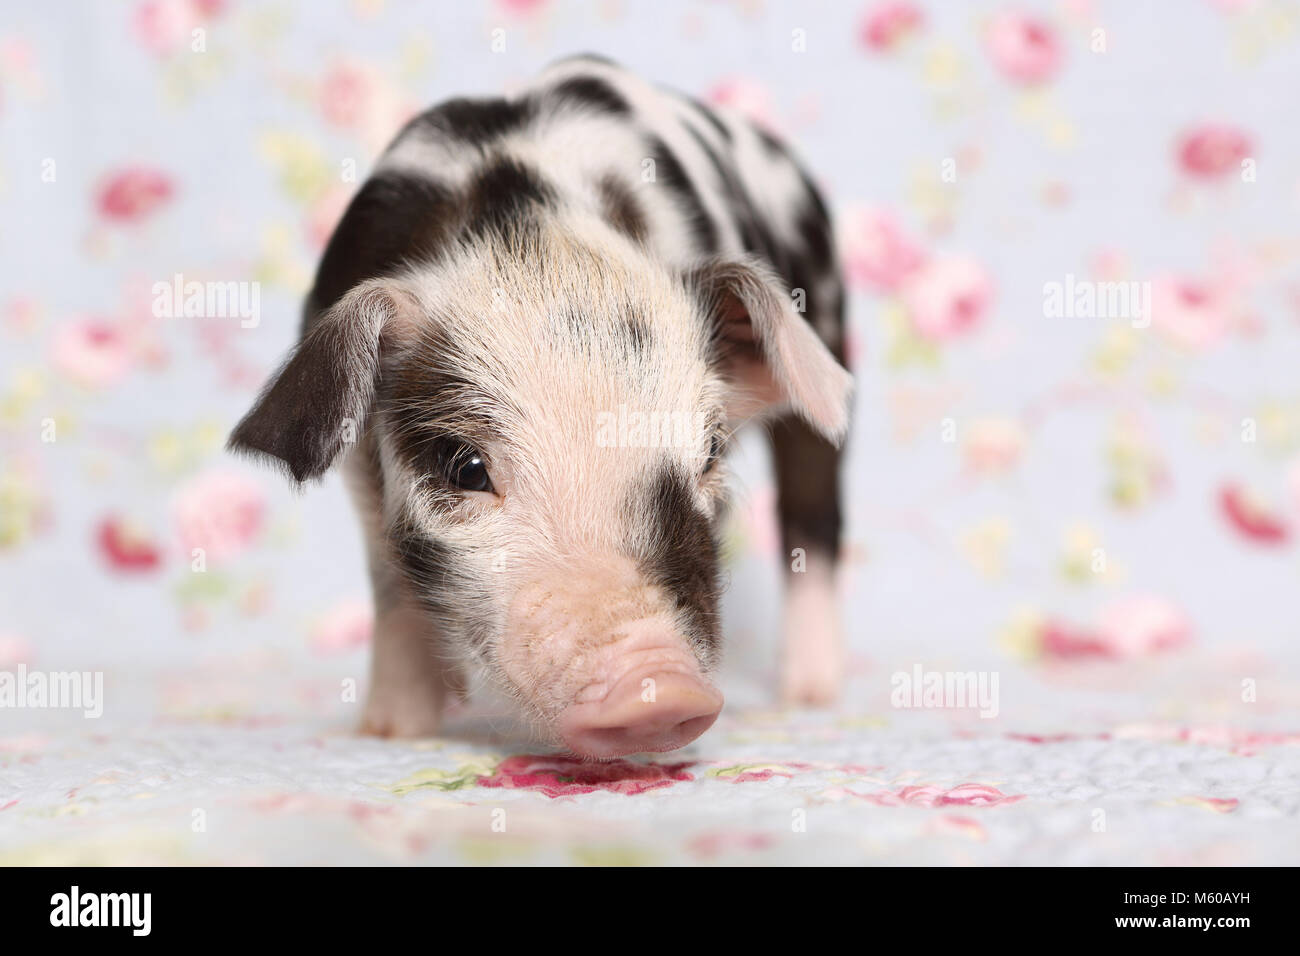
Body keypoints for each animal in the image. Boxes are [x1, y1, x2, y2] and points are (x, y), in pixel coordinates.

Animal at [229, 55, 852, 758]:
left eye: (710, 452)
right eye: (464, 465)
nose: (660, 687)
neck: (527, 239)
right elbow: (391, 582)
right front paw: (391, 733)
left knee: (814, 515)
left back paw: (811, 696)